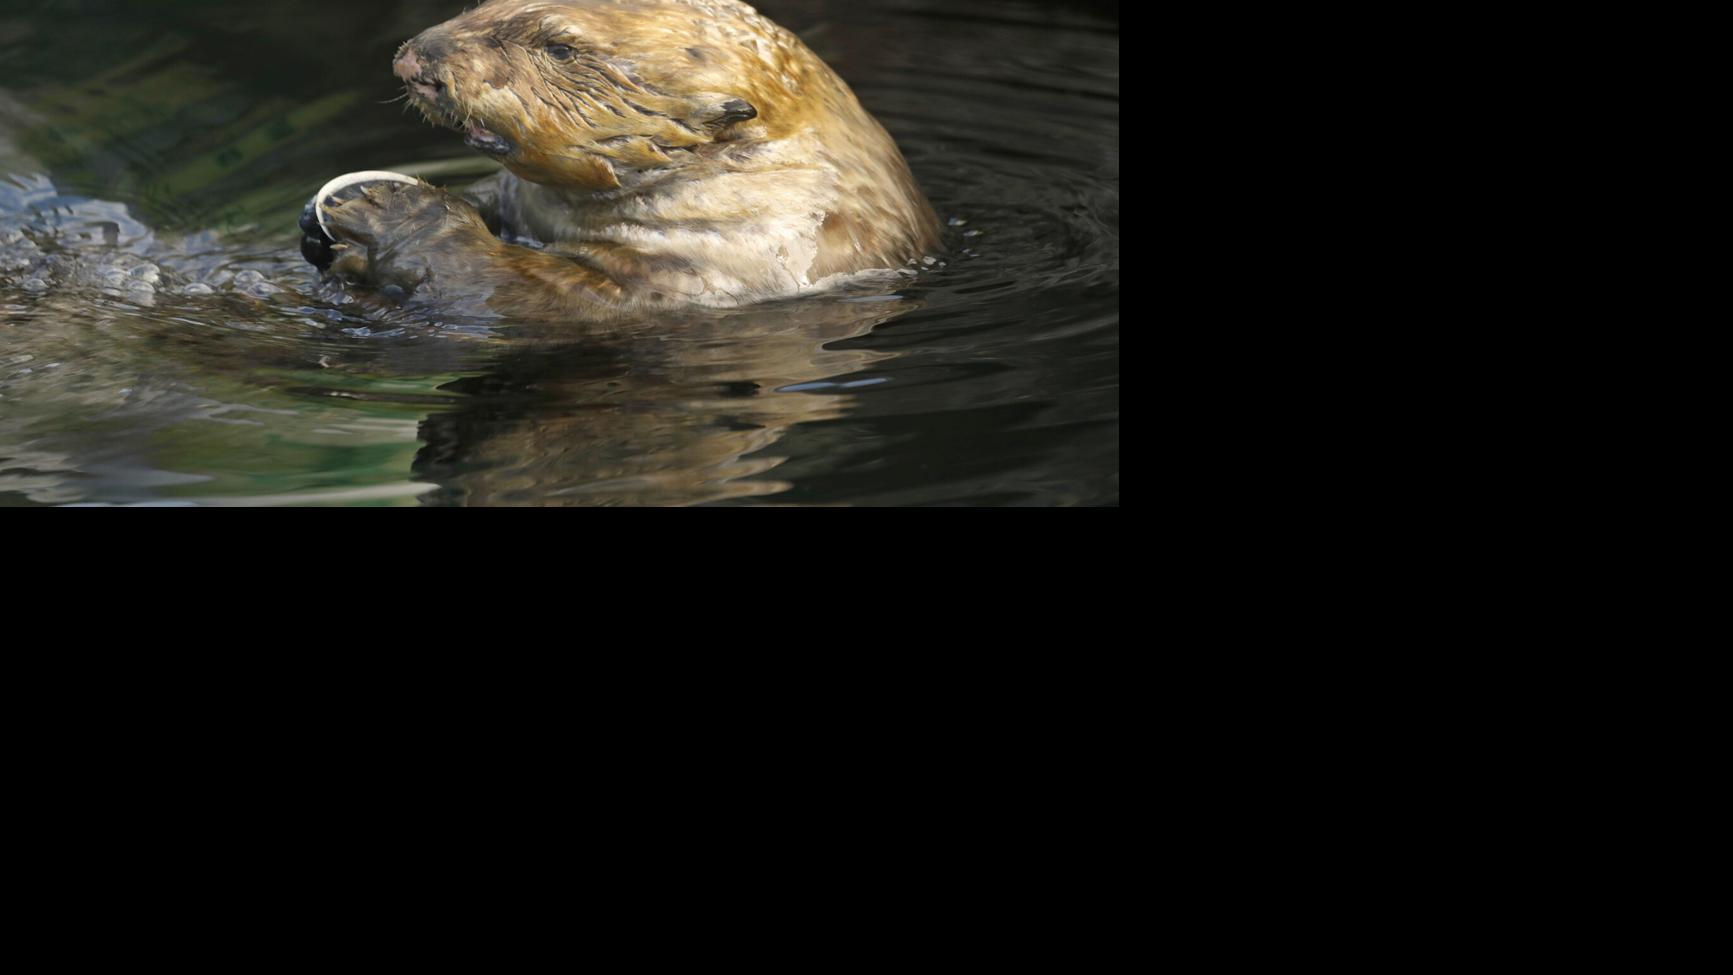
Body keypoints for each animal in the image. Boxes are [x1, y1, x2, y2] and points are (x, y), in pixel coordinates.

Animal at [303, 0, 942, 320]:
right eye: (479, 6)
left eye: (560, 49)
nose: (416, 58)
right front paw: (316, 232)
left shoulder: (737, 262)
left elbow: (532, 294)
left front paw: (392, 210)